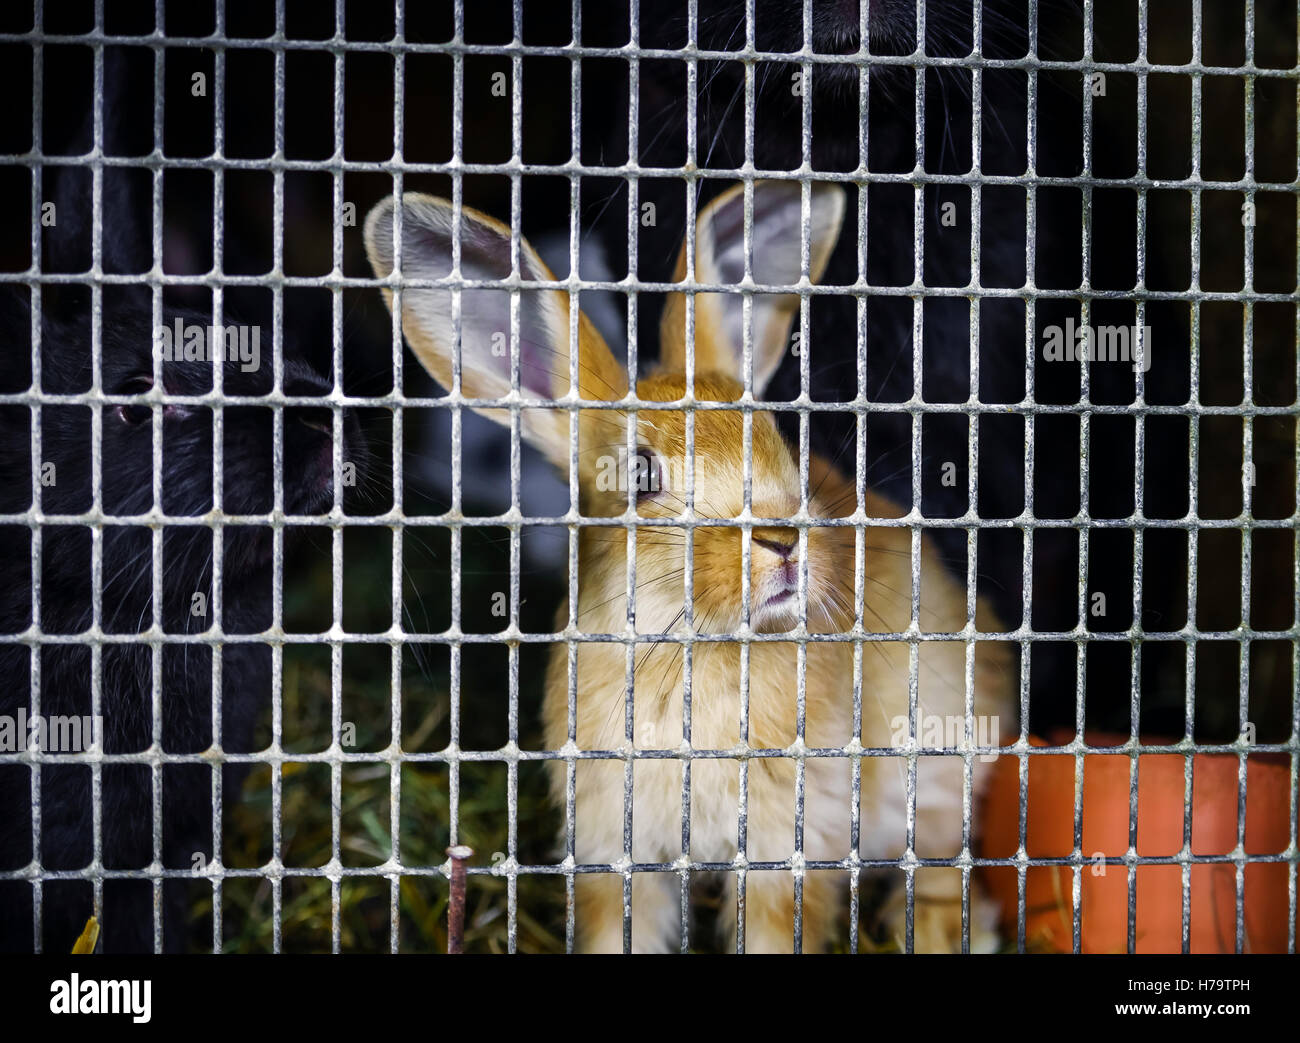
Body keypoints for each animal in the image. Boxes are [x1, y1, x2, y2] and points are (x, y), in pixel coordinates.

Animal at [363, 181, 1013, 953]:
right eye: (641, 474)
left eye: (775, 439)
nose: (782, 540)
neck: (687, 644)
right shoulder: (614, 847)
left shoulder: (785, 849)